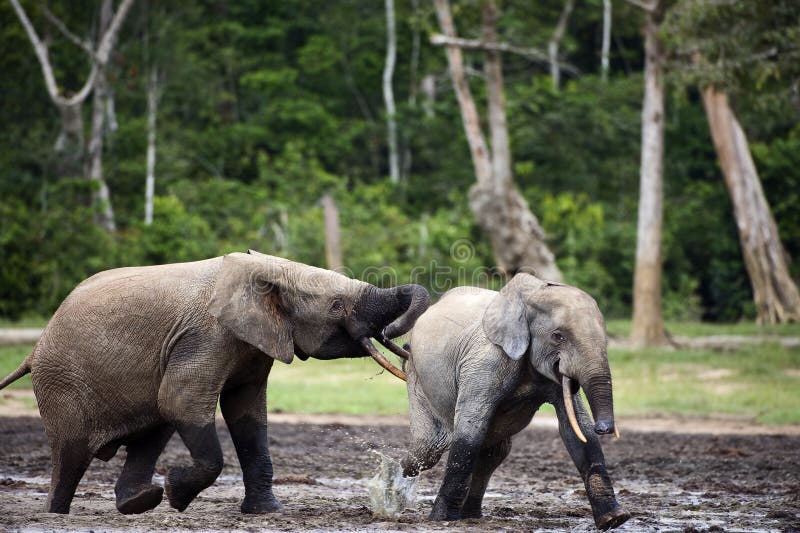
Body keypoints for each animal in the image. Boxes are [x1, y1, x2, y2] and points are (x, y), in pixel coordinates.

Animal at [0, 250, 429, 515]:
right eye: (337, 305)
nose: (401, 341)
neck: (269, 270)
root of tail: (35, 346)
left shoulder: (253, 343)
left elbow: (247, 414)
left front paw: (267, 512)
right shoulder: (206, 335)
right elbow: (184, 402)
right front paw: (177, 494)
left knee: (154, 427)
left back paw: (139, 503)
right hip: (62, 381)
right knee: (73, 452)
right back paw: (60, 512)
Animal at [397, 273, 630, 530]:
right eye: (558, 336)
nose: (605, 428)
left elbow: (577, 429)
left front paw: (614, 519)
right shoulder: (487, 361)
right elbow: (470, 428)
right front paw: (441, 520)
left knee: (493, 453)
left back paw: (470, 516)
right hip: (416, 377)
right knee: (428, 449)